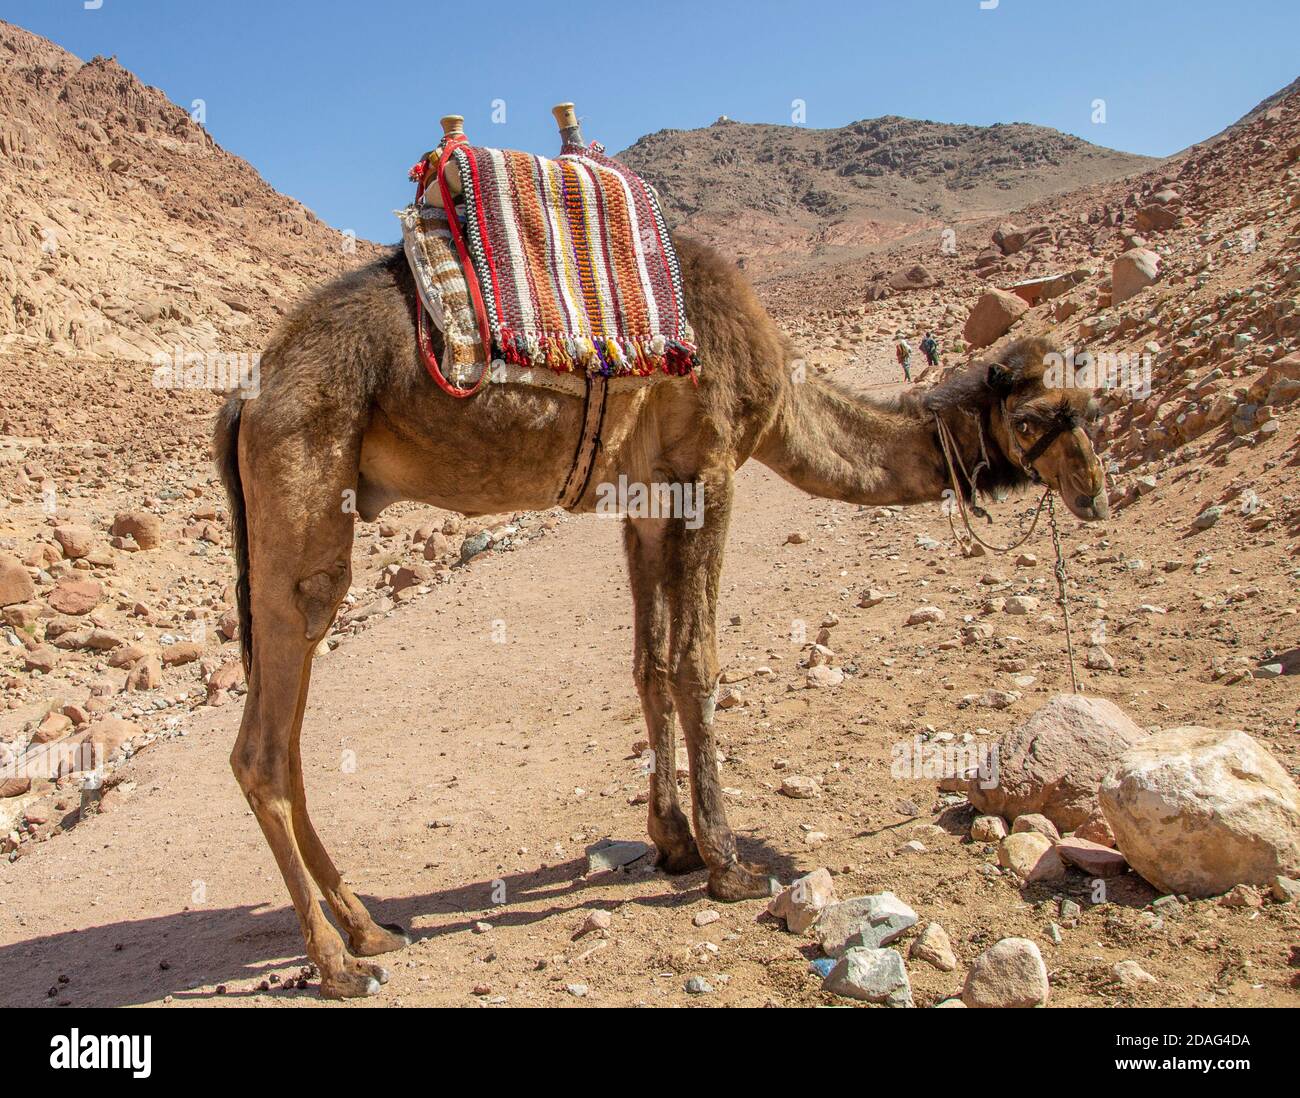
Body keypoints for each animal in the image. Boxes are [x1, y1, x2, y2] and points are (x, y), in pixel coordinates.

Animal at [213, 235, 1108, 998]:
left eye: (1088, 407)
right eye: (1037, 419)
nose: (1094, 494)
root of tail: (243, 397)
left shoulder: (643, 503)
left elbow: (649, 664)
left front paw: (672, 839)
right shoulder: (706, 474)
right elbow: (696, 664)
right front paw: (729, 862)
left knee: (288, 738)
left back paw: (369, 929)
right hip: (304, 492)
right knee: (261, 748)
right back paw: (338, 965)